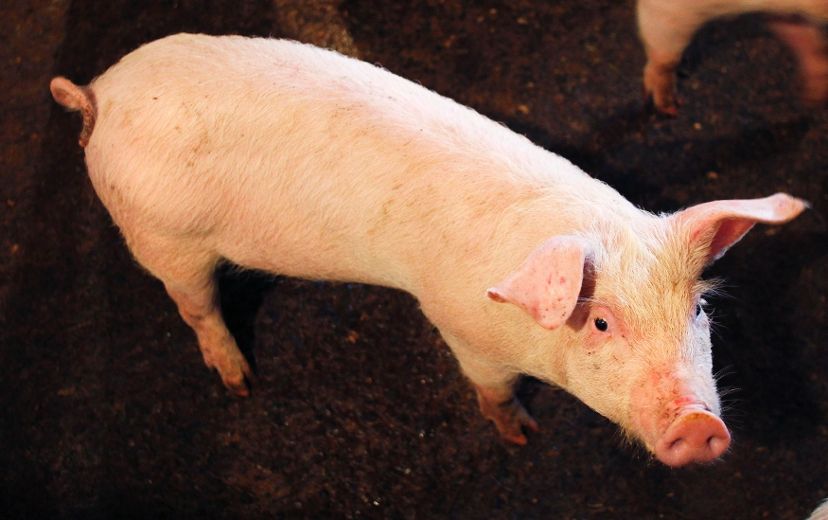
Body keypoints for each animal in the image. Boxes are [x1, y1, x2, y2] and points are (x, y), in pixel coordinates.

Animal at [50, 33, 807, 466]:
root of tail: (99, 93)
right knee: (196, 307)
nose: (701, 427)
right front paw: (522, 437)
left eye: (700, 312)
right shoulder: (460, 326)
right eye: (599, 322)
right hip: (160, 235)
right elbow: (491, 388)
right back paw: (239, 382)